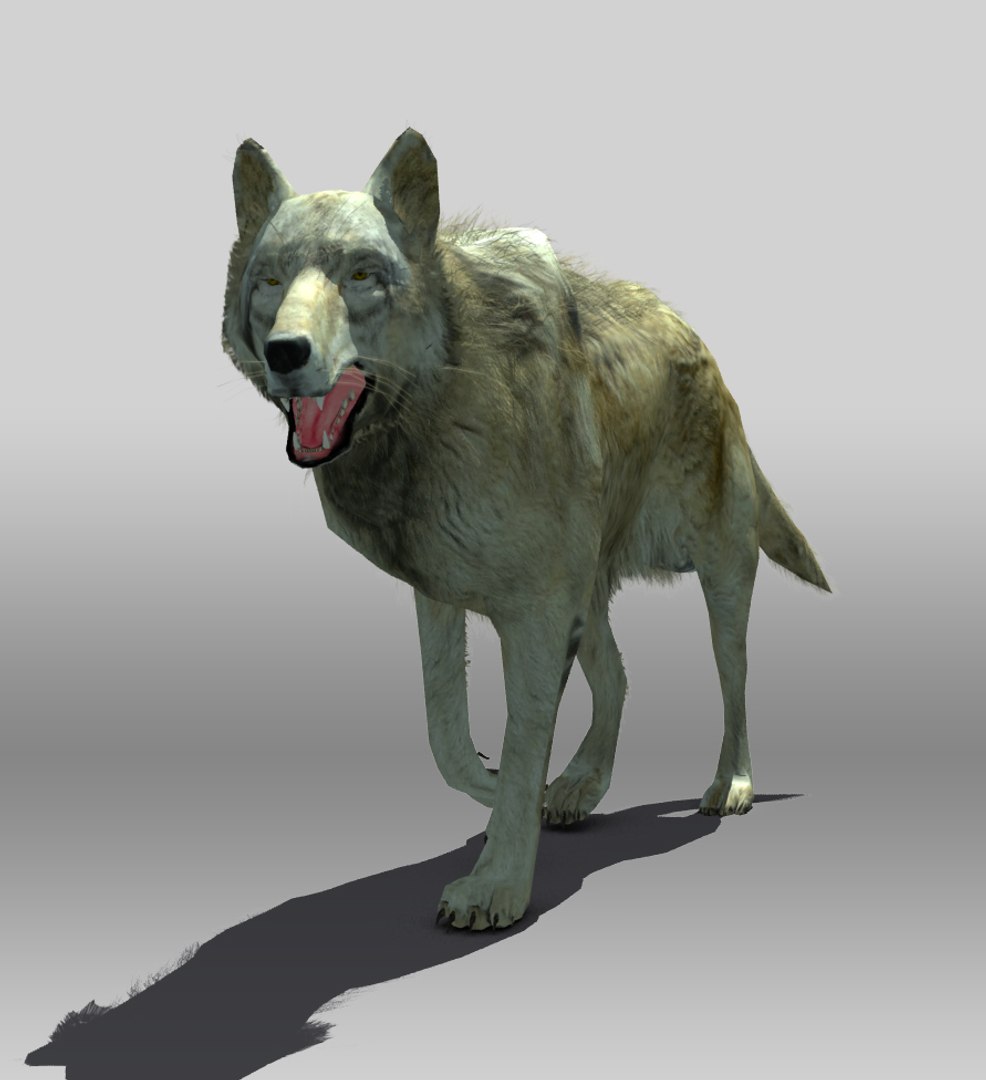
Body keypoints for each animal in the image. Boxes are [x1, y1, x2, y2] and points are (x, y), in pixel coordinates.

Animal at [222, 129, 830, 930]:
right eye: (270, 280)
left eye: (361, 275)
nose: (285, 353)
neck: (437, 408)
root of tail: (691, 333)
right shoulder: (444, 597)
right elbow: (446, 736)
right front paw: (512, 797)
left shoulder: (536, 615)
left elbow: (519, 735)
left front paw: (499, 881)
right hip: (587, 588)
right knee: (621, 676)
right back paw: (579, 785)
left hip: (716, 575)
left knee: (735, 678)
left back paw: (730, 784)